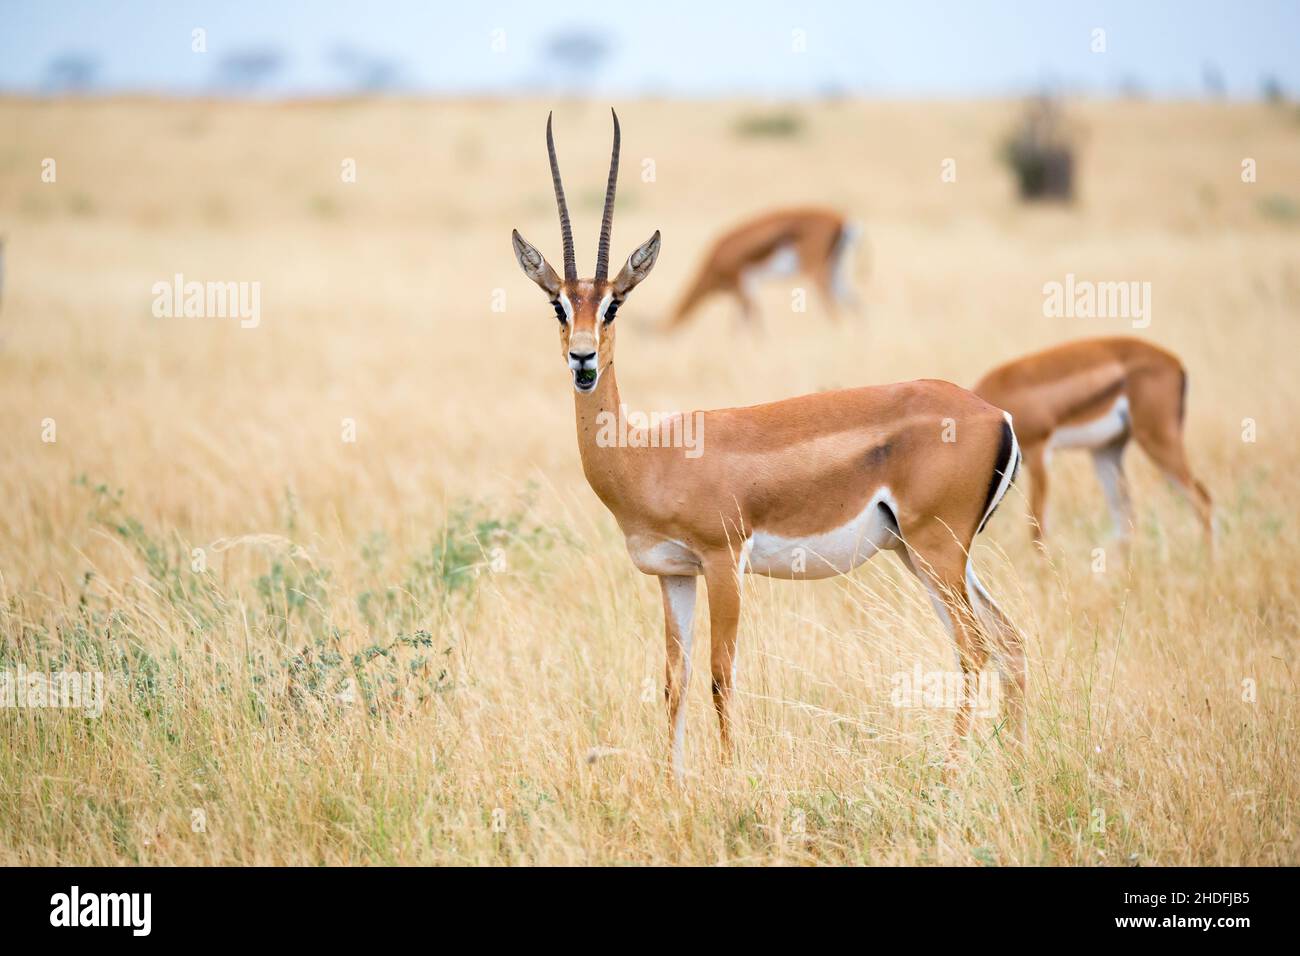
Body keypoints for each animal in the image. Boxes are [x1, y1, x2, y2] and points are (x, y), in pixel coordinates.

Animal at [664, 208, 862, 331]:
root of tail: (843, 222)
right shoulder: (744, 288)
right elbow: (742, 323)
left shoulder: (740, 286)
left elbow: (748, 321)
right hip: (835, 273)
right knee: (856, 304)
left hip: (817, 274)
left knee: (835, 311)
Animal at [973, 337, 1213, 552]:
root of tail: (1175, 363)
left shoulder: (1039, 453)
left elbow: (1038, 528)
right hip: (1106, 452)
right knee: (1124, 521)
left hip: (1157, 439)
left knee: (1202, 500)